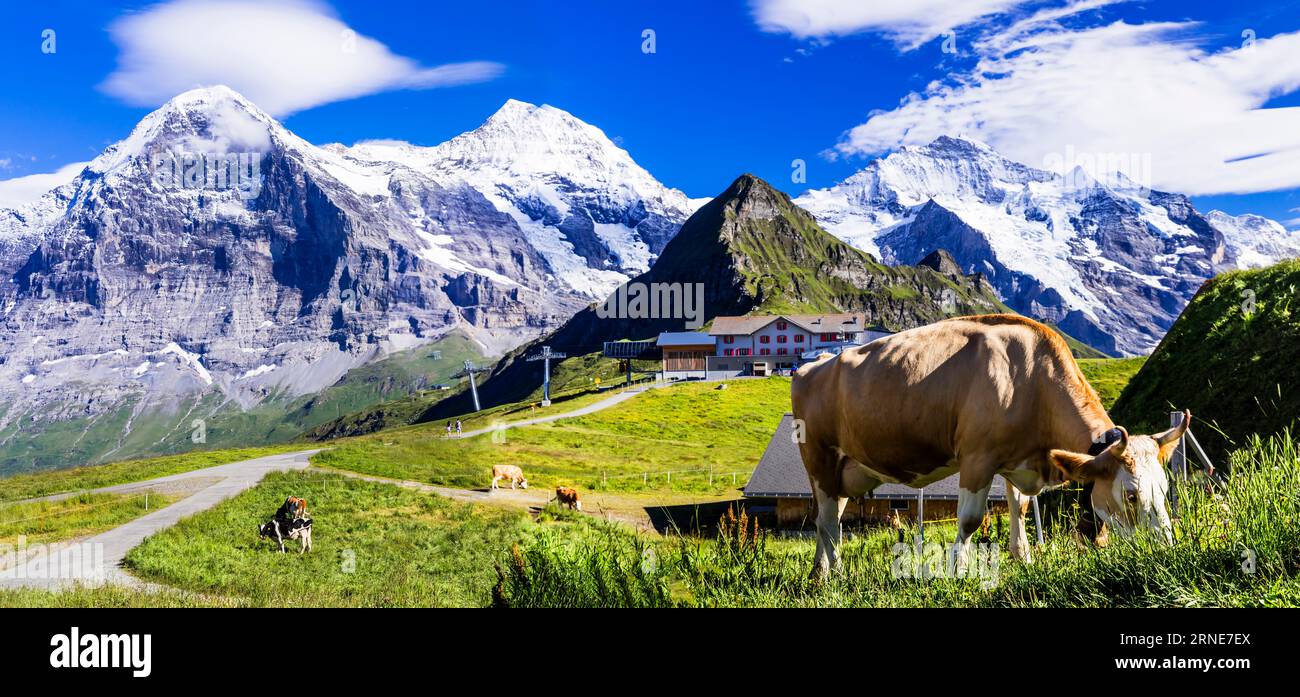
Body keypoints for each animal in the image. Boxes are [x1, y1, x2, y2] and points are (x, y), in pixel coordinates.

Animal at [791, 314, 1189, 578]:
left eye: (1166, 488)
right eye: (1132, 495)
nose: (1164, 550)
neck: (1032, 380)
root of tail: (812, 365)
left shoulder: (1017, 460)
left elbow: (1021, 508)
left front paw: (1022, 557)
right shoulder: (977, 457)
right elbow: (970, 519)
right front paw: (958, 570)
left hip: (845, 470)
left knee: (828, 518)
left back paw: (819, 573)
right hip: (818, 458)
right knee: (827, 521)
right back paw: (836, 574)